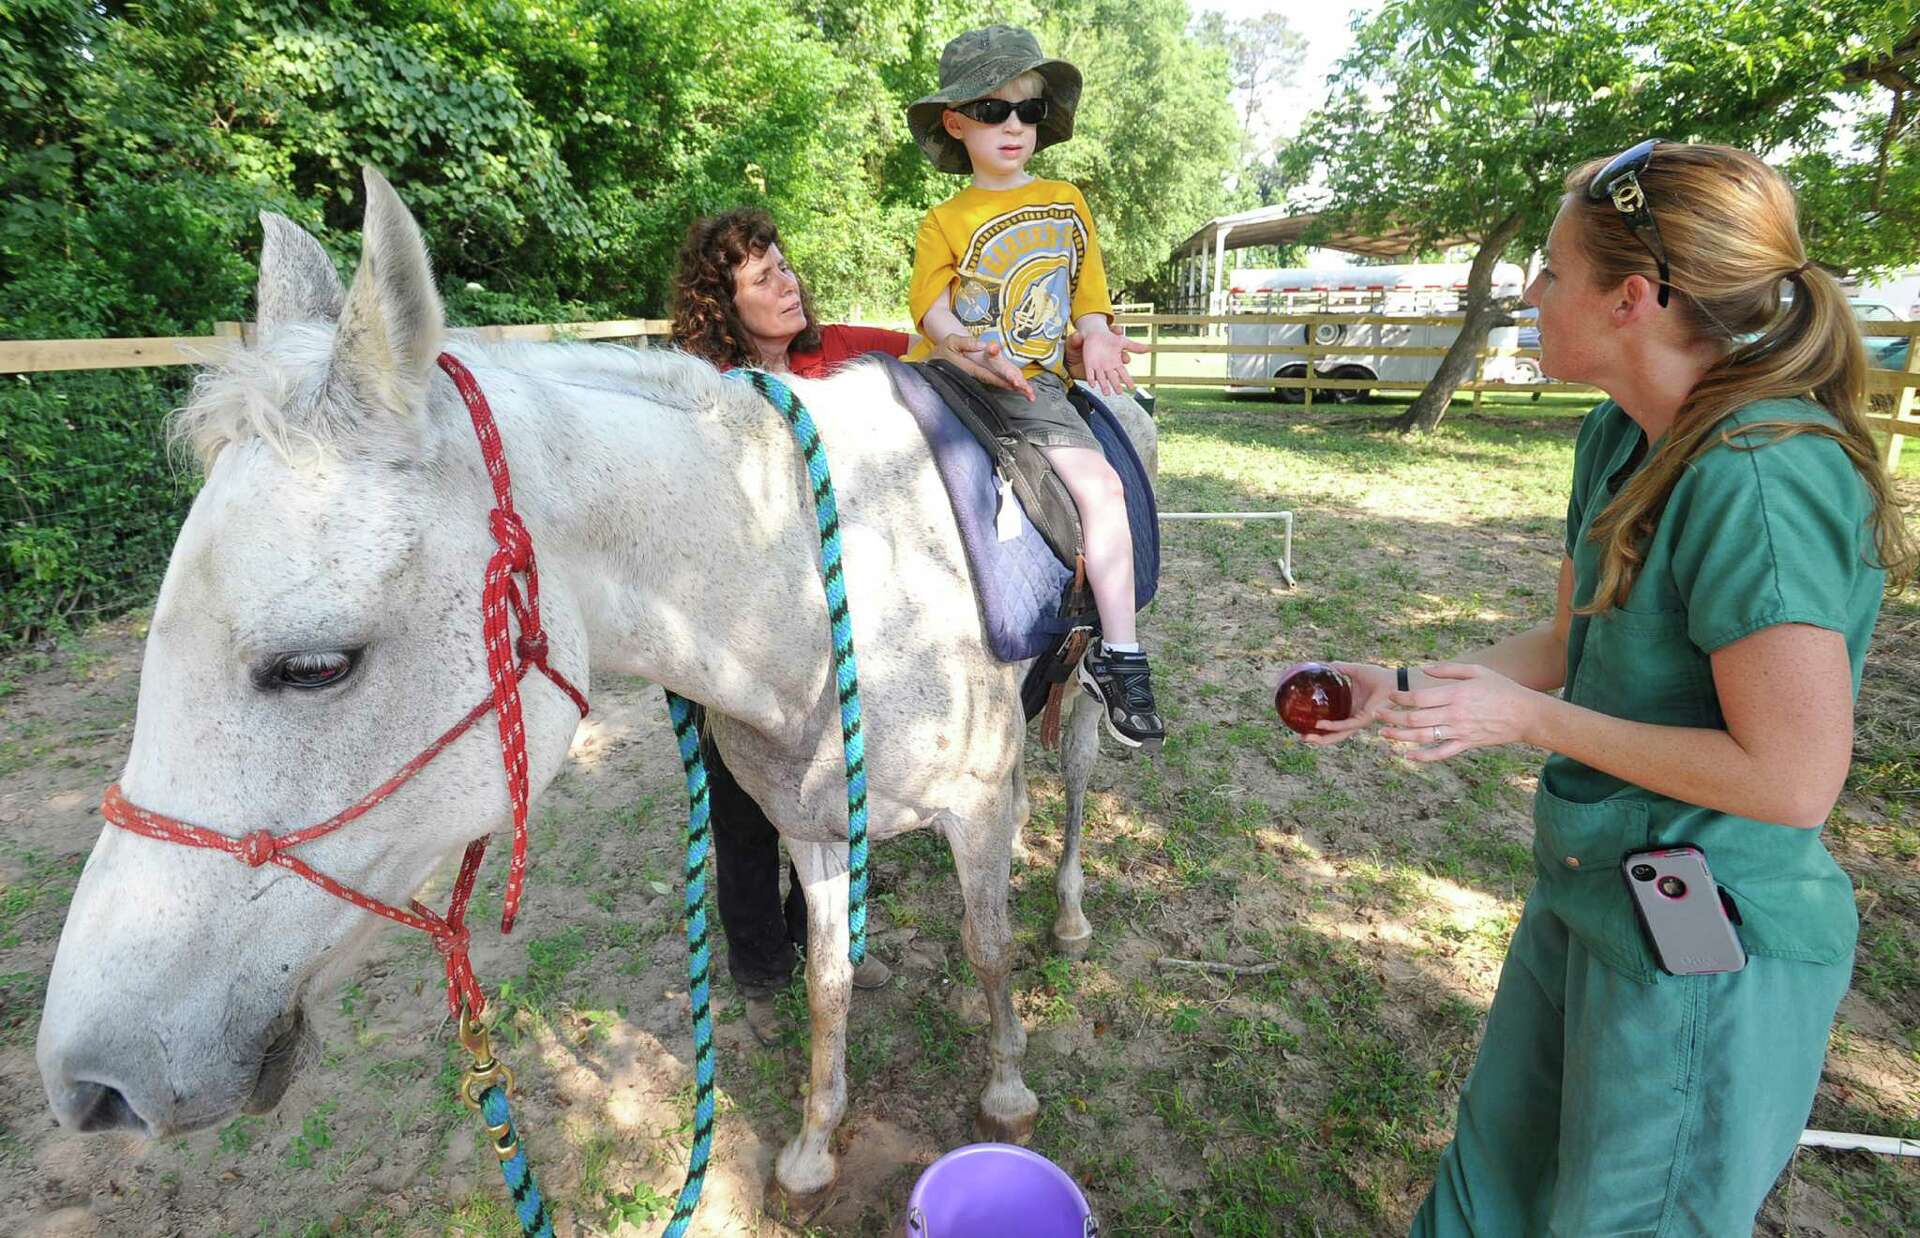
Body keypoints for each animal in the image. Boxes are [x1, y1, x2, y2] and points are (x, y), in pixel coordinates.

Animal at [36, 169, 1152, 1212]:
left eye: (315, 665)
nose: (93, 1084)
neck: (809, 582)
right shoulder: (812, 824)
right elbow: (829, 985)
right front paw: (810, 1146)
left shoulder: (976, 806)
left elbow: (989, 947)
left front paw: (1007, 1090)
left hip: (1087, 700)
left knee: (1076, 785)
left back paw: (1072, 915)